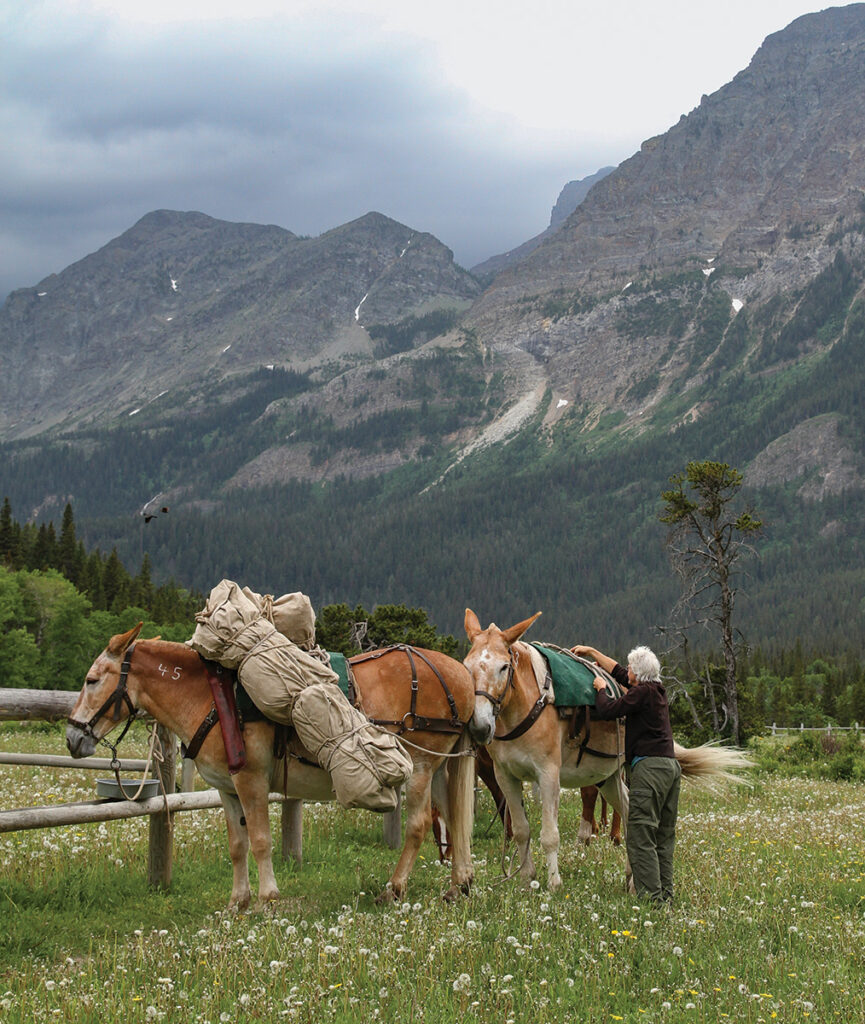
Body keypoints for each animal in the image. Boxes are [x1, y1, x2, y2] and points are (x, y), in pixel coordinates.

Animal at [66, 624, 476, 909]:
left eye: (92, 680)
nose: (72, 737)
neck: (209, 697)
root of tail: (460, 676)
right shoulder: (226, 788)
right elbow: (237, 844)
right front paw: (237, 901)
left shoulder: (251, 781)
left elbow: (261, 840)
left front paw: (267, 898)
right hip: (441, 769)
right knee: (454, 819)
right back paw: (459, 885)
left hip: (421, 767)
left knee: (419, 826)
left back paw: (394, 888)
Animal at [464, 609, 751, 890]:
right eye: (466, 667)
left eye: (504, 667)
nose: (479, 726)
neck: (527, 707)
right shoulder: (505, 776)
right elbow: (522, 830)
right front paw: (527, 881)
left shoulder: (548, 775)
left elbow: (550, 835)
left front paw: (554, 884)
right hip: (608, 777)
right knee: (627, 810)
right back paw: (631, 876)